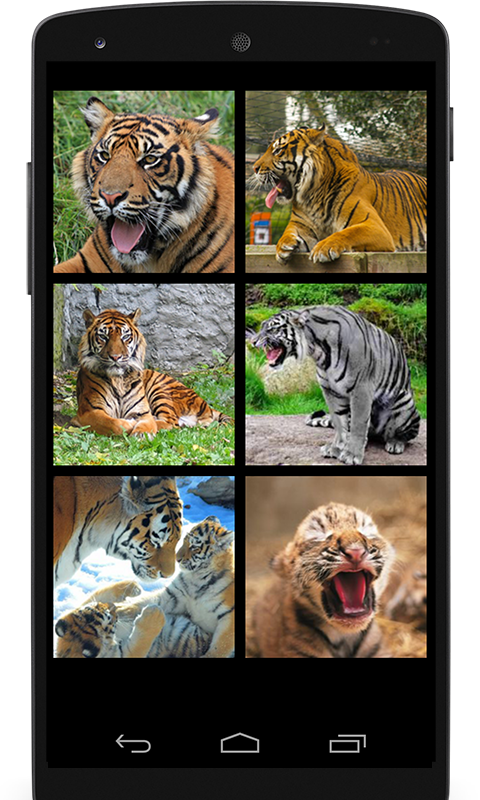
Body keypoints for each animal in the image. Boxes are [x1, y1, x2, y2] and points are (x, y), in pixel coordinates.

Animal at [72, 308, 234, 437]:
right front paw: (129, 424)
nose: (116, 357)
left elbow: (147, 423)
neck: (118, 379)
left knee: (171, 422)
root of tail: (206, 405)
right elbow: (113, 423)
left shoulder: (142, 412)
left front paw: (142, 434)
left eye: (125, 337)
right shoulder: (89, 411)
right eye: (103, 337)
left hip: (160, 390)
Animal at [251, 305, 420, 465]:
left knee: (406, 434)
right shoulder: (330, 390)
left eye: (273, 329)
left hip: (404, 401)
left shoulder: (361, 389)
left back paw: (395, 443)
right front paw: (337, 448)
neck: (319, 351)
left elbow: (359, 424)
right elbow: (339, 422)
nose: (252, 342)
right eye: (262, 326)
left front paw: (352, 455)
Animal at [252, 124, 426, 264]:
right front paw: (283, 247)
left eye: (278, 150)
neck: (311, 196)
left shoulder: (375, 226)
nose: (254, 168)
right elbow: (288, 232)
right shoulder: (300, 224)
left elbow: (347, 233)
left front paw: (322, 248)